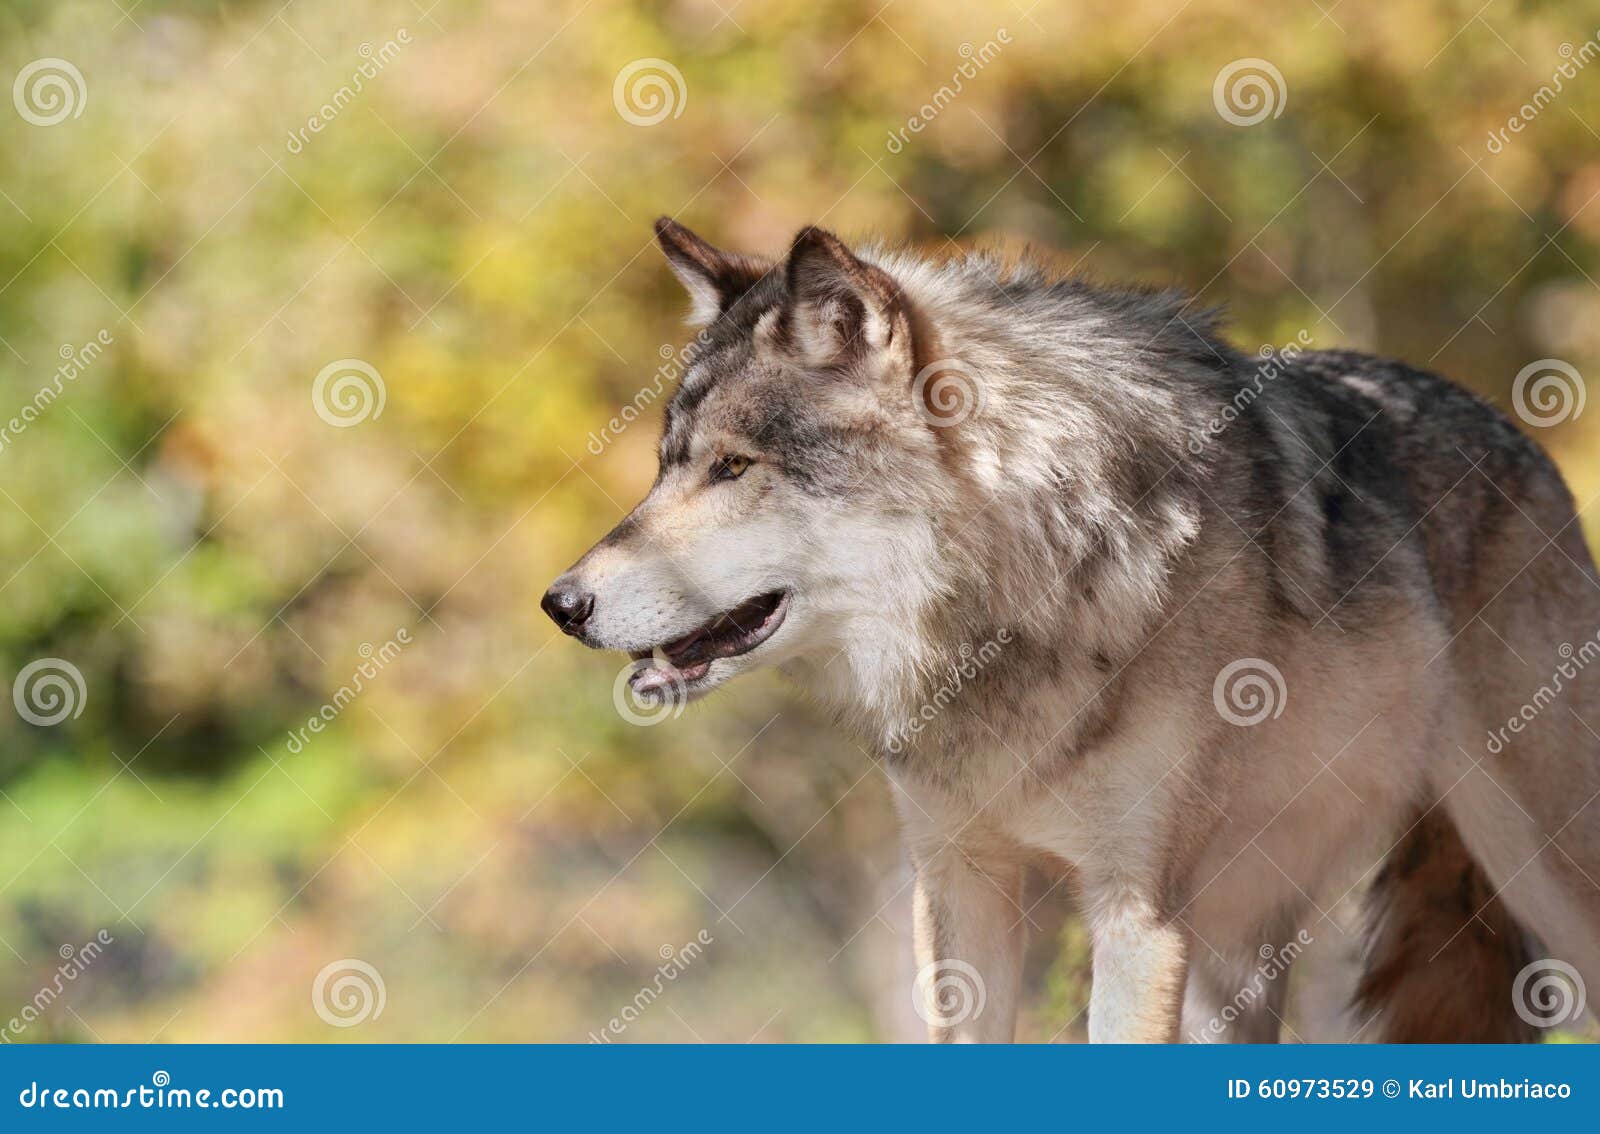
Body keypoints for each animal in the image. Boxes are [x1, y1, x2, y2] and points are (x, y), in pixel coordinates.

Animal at [544, 218, 1600, 1042]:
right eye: (666, 465)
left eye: (733, 467)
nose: (561, 603)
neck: (1030, 598)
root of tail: (1520, 439)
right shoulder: (958, 882)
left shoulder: (1136, 914)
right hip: (1244, 935)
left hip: (1542, 878)